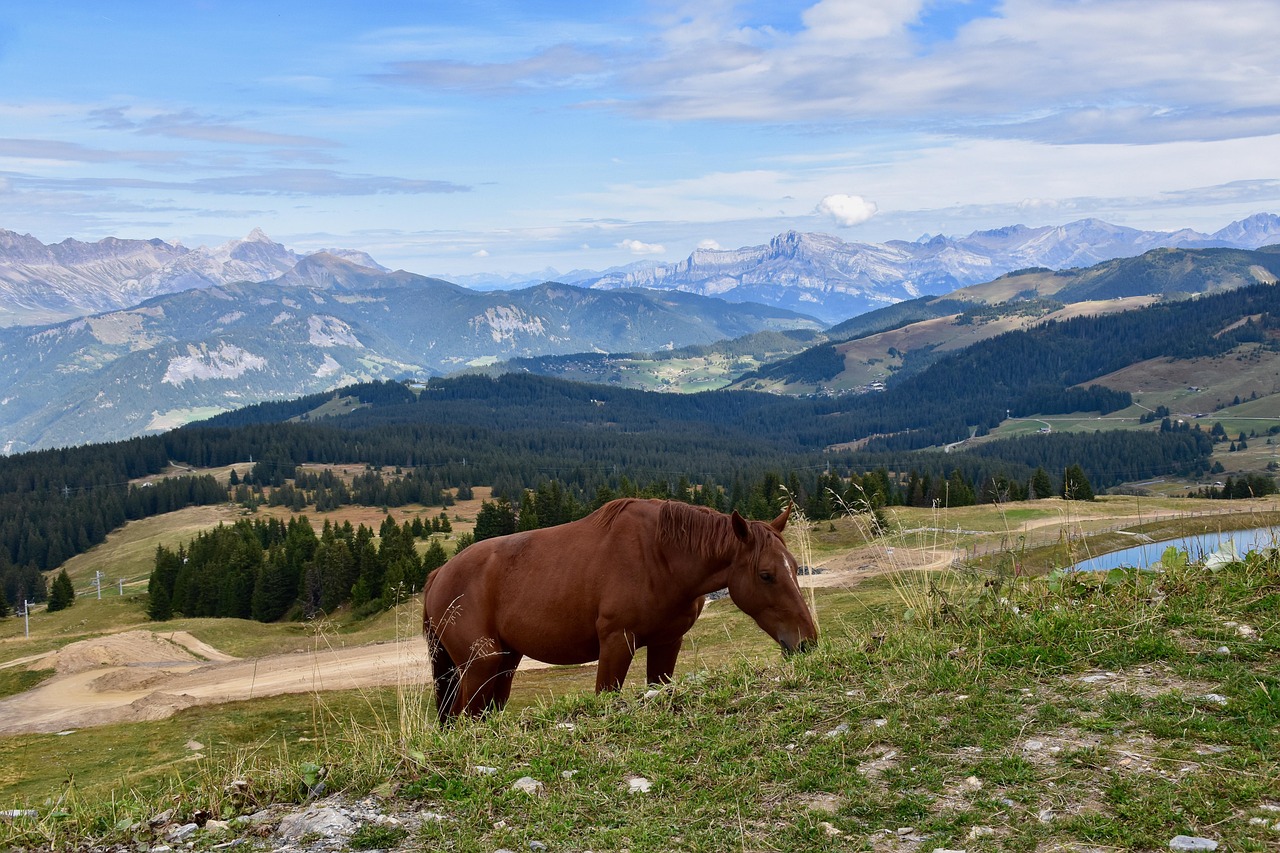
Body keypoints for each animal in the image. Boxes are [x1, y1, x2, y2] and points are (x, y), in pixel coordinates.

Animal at [422, 497, 818, 723]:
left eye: (794, 567)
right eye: (766, 574)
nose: (807, 642)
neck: (659, 556)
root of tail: (439, 573)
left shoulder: (667, 642)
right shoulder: (616, 643)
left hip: (504, 664)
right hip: (480, 665)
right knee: (461, 719)